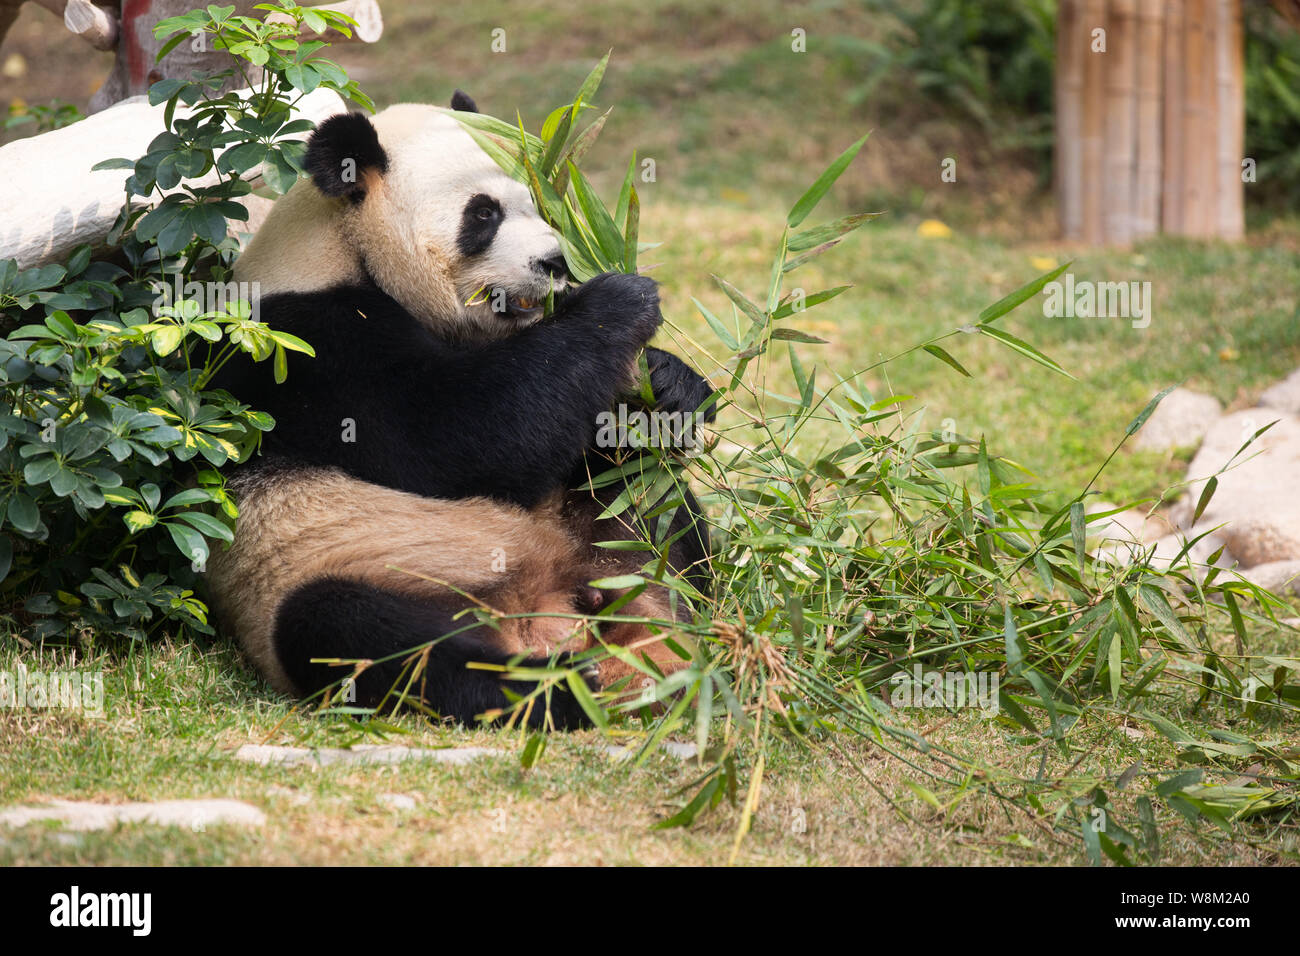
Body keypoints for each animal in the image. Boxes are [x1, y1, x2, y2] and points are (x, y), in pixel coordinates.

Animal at [205, 95, 717, 729]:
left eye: (536, 201)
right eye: (483, 215)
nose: (556, 262)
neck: (342, 245)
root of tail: (543, 615)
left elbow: (579, 435)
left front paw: (670, 384)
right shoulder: (301, 346)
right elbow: (455, 436)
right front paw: (619, 300)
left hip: (600, 538)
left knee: (655, 509)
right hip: (339, 568)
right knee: (363, 634)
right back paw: (557, 686)